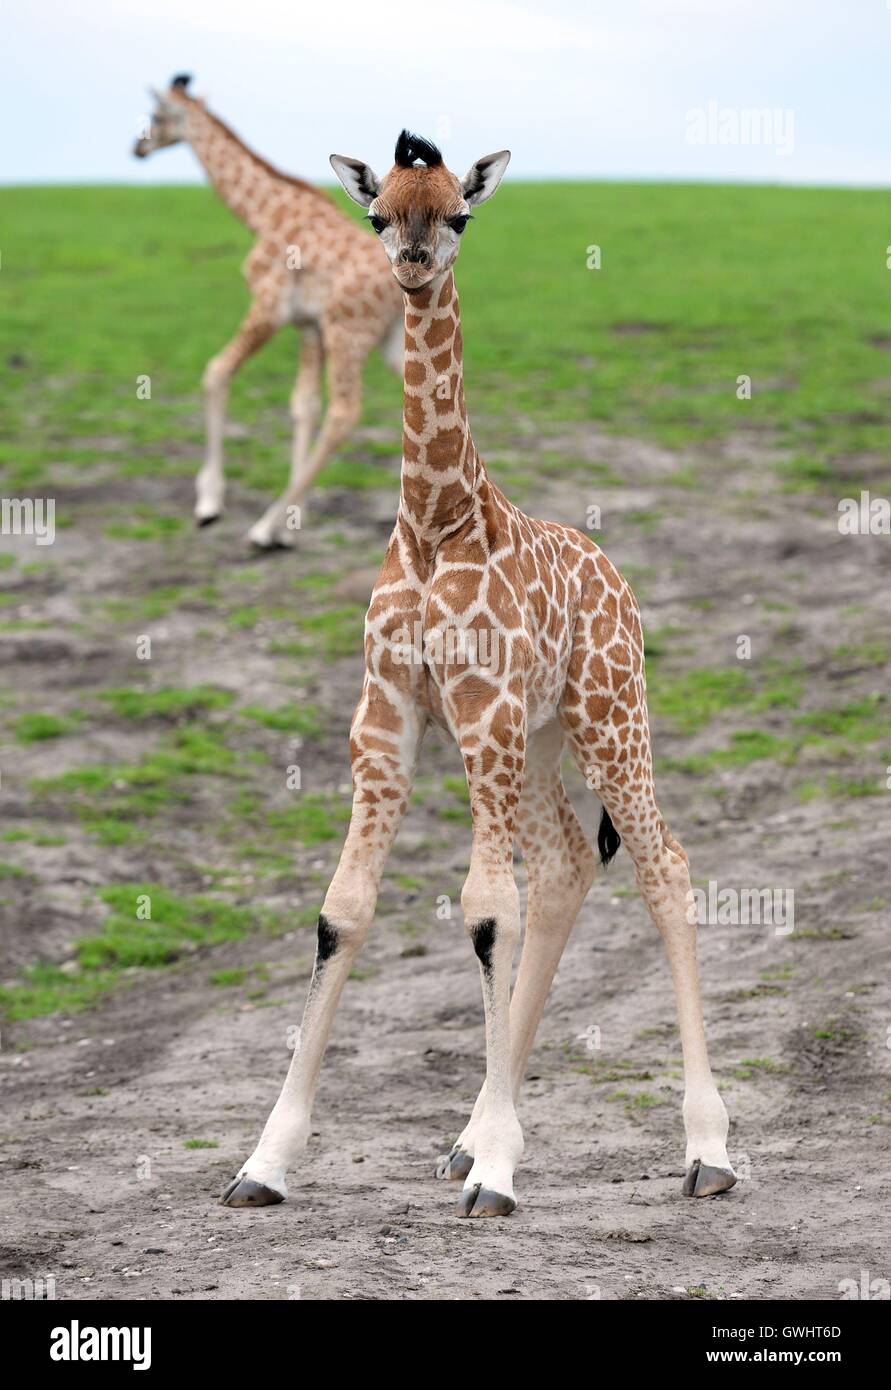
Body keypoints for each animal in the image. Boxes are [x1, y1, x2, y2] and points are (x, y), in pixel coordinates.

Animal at [133, 75, 403, 548]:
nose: (138, 147)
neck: (260, 213)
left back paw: (260, 527)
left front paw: (211, 503)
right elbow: (303, 406)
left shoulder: (269, 306)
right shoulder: (308, 324)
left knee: (345, 413)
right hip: (390, 339)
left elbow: (216, 372)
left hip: (349, 332)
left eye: (157, 115)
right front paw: (292, 523)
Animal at [221, 131, 736, 1217]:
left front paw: (501, 1164)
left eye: (457, 212)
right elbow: (344, 910)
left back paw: (707, 1148)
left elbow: (484, 909)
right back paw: (466, 1137)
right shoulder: (389, 715)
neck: (432, 519)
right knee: (570, 866)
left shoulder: (482, 711)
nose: (414, 265)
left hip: (605, 713)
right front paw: (265, 1161)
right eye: (378, 214)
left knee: (662, 864)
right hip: (539, 741)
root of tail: (619, 580)